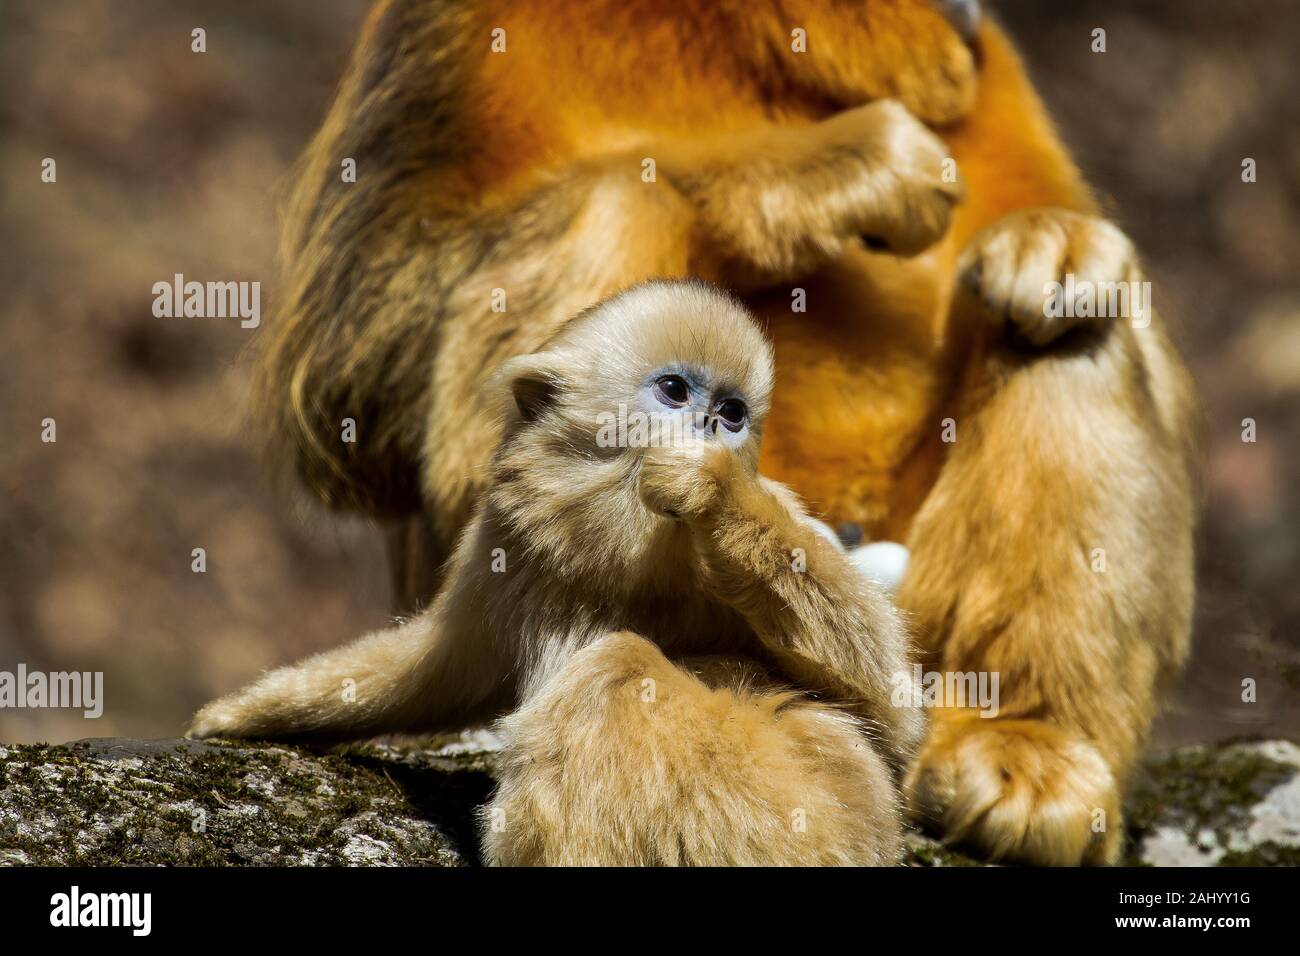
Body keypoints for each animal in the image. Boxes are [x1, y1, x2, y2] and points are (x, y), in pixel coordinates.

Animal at [193, 281, 921, 866]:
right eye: (675, 391)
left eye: (735, 411)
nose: (714, 423)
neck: (617, 528)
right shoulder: (507, 535)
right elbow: (441, 670)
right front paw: (239, 716)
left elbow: (886, 712)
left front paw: (711, 488)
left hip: (802, 810)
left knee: (616, 670)